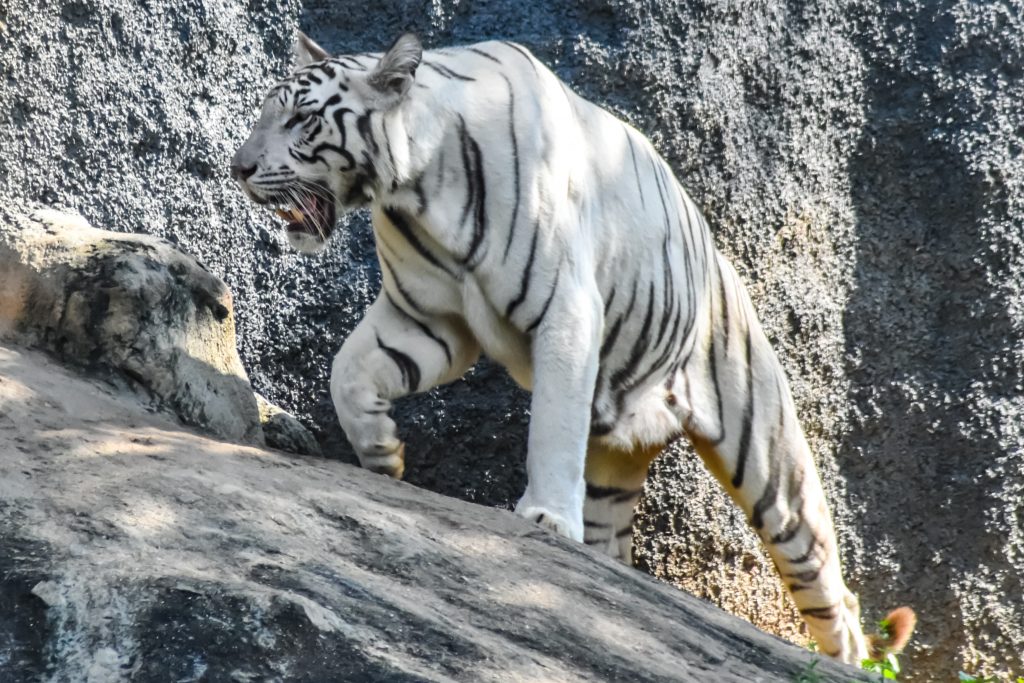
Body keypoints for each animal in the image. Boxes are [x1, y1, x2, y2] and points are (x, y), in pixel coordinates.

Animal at [230, 31, 915, 664]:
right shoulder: (426, 319)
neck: (416, 187)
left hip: (772, 463)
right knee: (615, 540)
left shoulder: (566, 310)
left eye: (301, 118)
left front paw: (544, 517)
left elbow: (553, 425)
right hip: (618, 464)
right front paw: (381, 453)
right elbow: (347, 371)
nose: (238, 168)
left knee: (832, 589)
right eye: (266, 112)